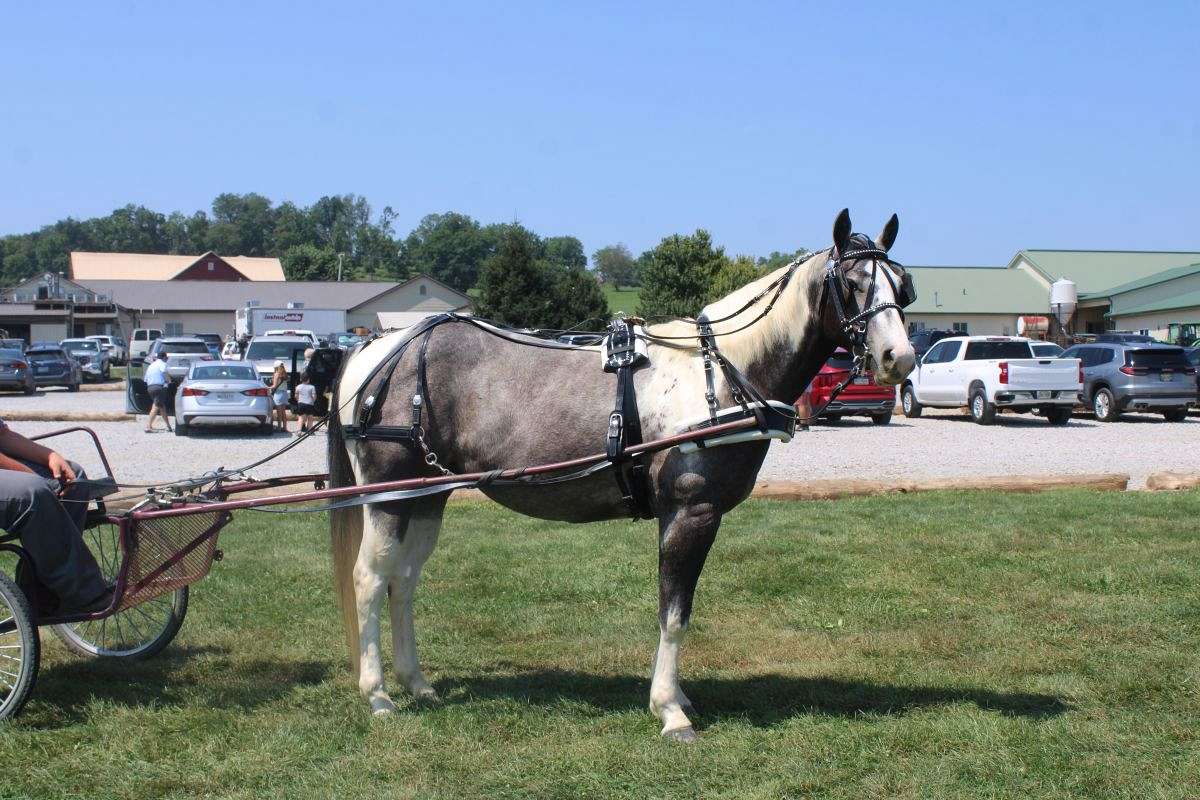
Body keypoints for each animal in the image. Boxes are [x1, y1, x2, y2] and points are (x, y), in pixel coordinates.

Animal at [328, 208, 917, 741]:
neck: (720, 372)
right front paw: (670, 711)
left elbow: (672, 608)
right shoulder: (690, 511)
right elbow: (674, 612)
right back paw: (378, 694)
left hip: (427, 495)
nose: (900, 358)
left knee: (403, 581)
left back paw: (417, 683)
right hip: (388, 496)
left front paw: (676, 697)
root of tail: (382, 350)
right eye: (852, 284)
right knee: (370, 579)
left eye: (902, 286)